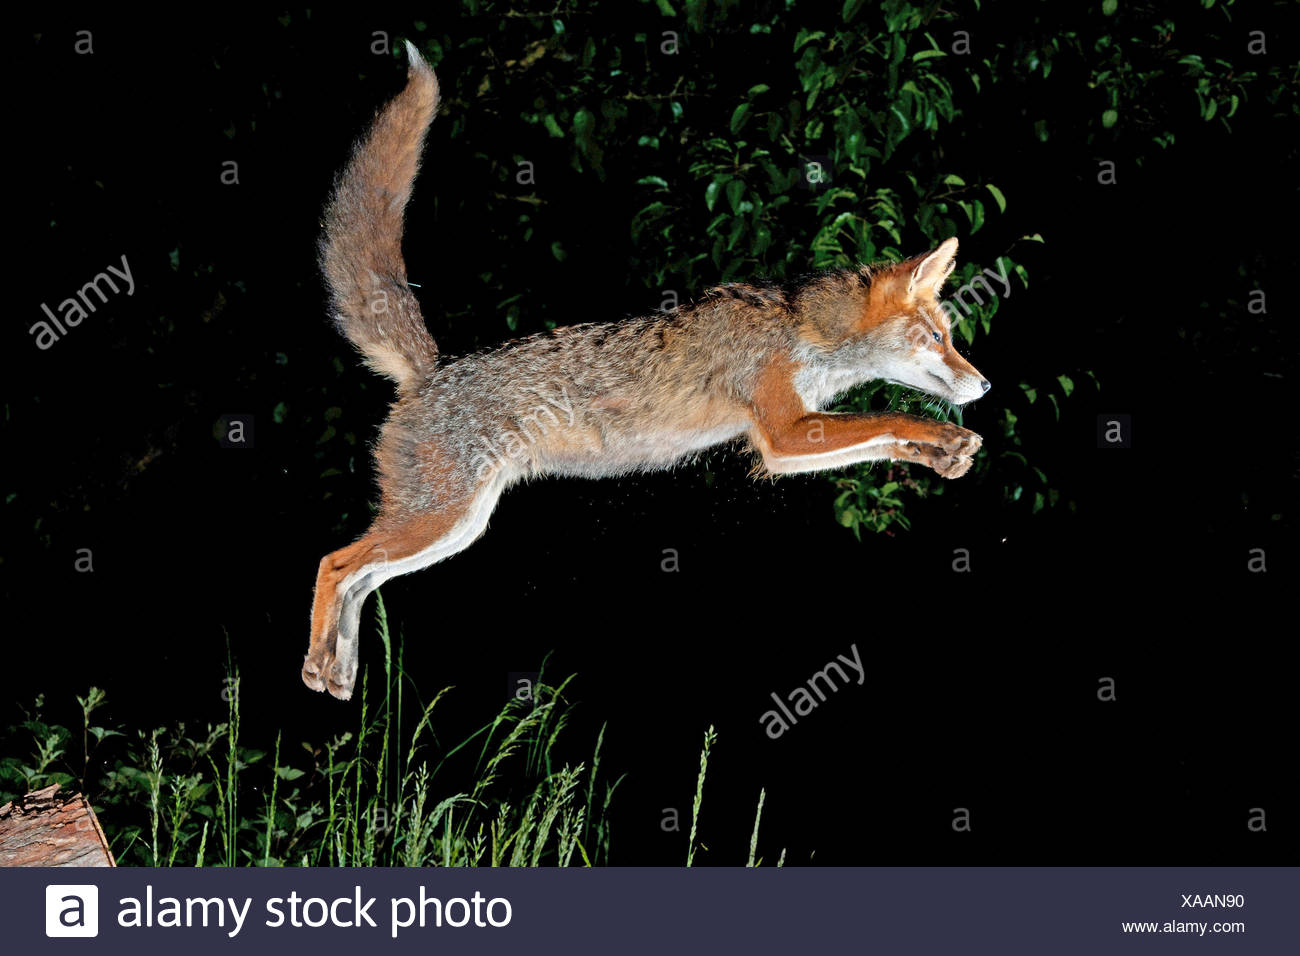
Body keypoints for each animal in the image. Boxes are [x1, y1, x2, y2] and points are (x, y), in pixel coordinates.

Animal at [303, 42, 990, 700]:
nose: (984, 383)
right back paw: (320, 663)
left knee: (362, 578)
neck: (806, 334)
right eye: (938, 338)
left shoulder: (785, 443)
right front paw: (944, 436)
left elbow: (882, 434)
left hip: (454, 530)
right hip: (436, 519)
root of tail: (432, 371)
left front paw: (941, 453)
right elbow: (888, 414)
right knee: (335, 562)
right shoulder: (784, 431)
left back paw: (339, 669)